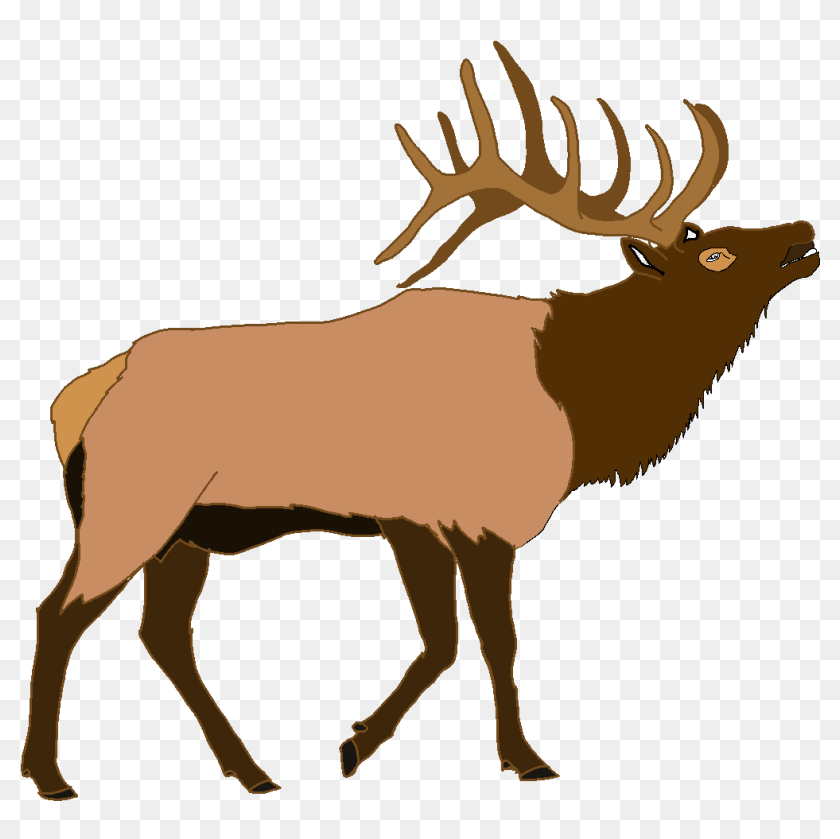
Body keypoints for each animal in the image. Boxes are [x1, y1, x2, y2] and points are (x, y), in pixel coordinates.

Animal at [22, 42, 820, 800]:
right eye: (715, 252)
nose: (805, 228)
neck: (580, 404)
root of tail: (75, 399)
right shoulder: (455, 518)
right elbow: (481, 641)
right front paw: (506, 756)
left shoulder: (425, 523)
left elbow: (449, 642)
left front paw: (361, 740)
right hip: (132, 503)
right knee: (59, 612)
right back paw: (51, 774)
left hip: (188, 530)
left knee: (162, 633)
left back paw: (249, 769)